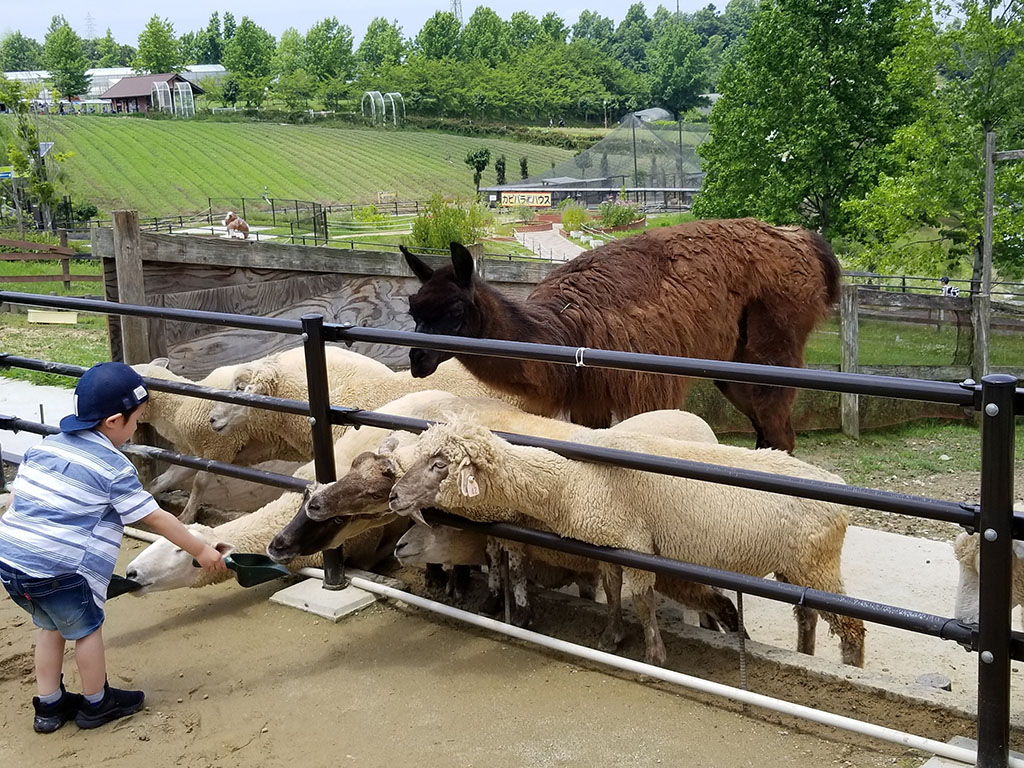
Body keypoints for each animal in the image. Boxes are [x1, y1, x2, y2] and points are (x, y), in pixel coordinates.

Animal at [387, 415, 868, 667]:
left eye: (439, 464)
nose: (393, 496)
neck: (572, 482)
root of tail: (837, 488)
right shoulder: (607, 545)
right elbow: (614, 591)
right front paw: (610, 636)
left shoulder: (638, 547)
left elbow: (642, 600)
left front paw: (654, 654)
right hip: (795, 566)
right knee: (807, 616)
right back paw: (806, 655)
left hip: (818, 563)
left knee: (852, 627)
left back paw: (849, 667)